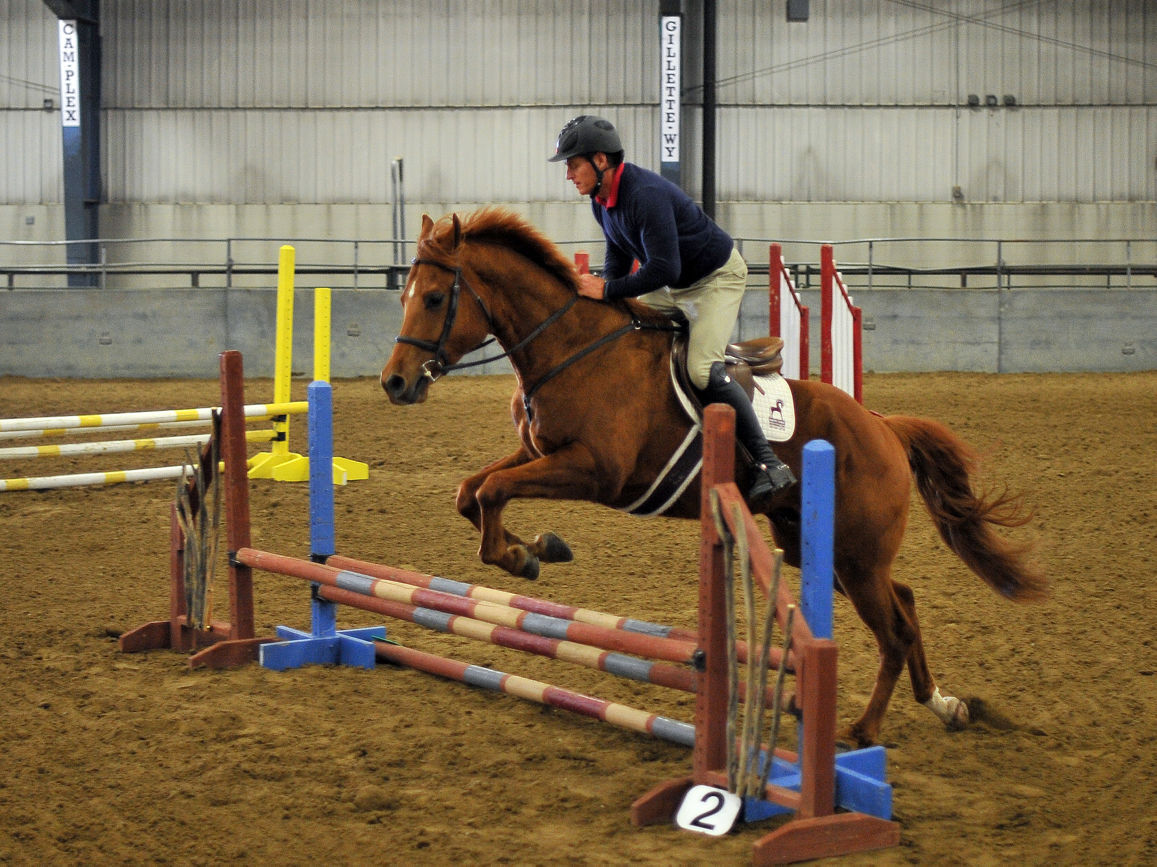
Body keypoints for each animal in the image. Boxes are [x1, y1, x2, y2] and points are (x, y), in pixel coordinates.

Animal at [380, 208, 1046, 748]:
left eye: (434, 298)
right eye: (404, 294)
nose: (396, 382)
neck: (573, 347)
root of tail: (883, 426)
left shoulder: (593, 470)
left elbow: (492, 492)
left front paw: (524, 557)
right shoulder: (537, 453)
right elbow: (471, 491)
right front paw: (537, 548)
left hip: (854, 558)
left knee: (894, 630)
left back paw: (864, 730)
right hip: (820, 549)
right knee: (903, 600)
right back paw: (945, 705)